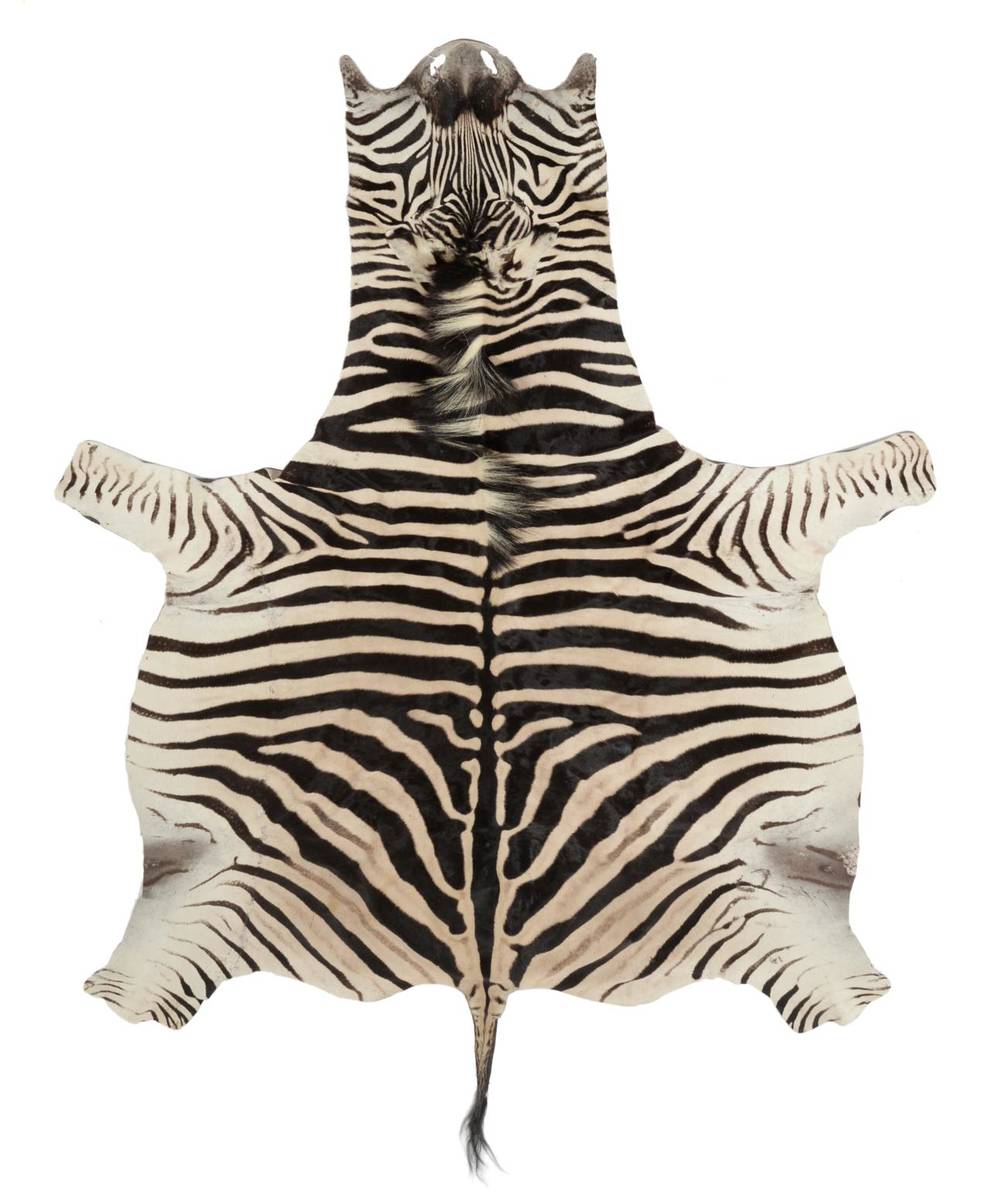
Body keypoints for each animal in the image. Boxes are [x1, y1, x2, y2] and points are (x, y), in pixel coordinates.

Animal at [56, 38, 935, 1173]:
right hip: (213, 886)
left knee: (828, 982)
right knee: (148, 979)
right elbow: (113, 477)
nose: (463, 60)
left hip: (762, 890)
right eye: (412, 96)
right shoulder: (235, 520)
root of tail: (485, 980)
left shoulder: (745, 515)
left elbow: (871, 469)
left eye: (530, 98)